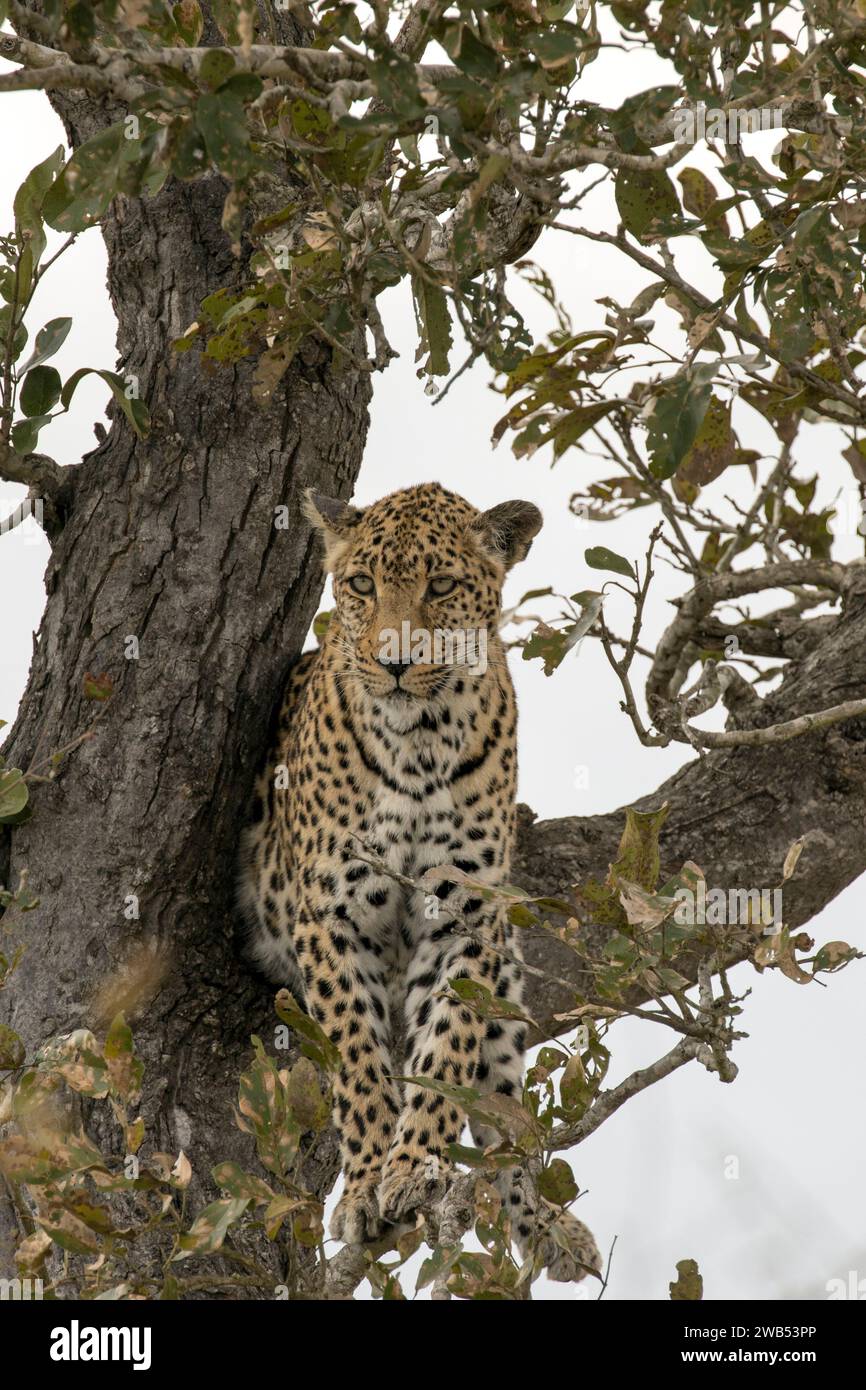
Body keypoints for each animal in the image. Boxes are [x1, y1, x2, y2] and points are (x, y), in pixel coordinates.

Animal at [238, 481, 599, 1283]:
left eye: (440, 586)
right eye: (361, 585)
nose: (396, 662)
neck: (420, 742)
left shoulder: (464, 914)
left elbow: (446, 1049)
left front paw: (411, 1167)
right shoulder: (331, 914)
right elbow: (359, 1060)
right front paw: (367, 1182)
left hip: (507, 981)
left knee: (505, 1119)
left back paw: (550, 1226)